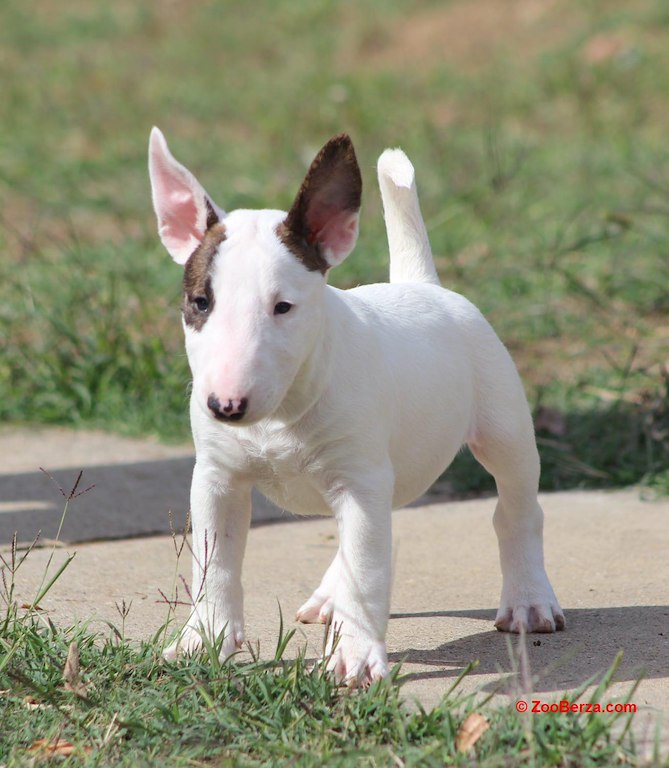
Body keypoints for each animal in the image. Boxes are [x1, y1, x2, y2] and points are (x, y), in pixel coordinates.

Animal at [147, 130, 564, 684]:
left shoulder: (361, 479)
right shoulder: (218, 478)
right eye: (200, 302)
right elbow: (215, 563)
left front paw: (356, 657)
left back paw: (528, 602)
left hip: (504, 429)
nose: (226, 406)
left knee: (517, 510)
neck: (284, 409)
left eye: (283, 307)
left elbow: (366, 568)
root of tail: (423, 285)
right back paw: (329, 597)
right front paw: (203, 641)